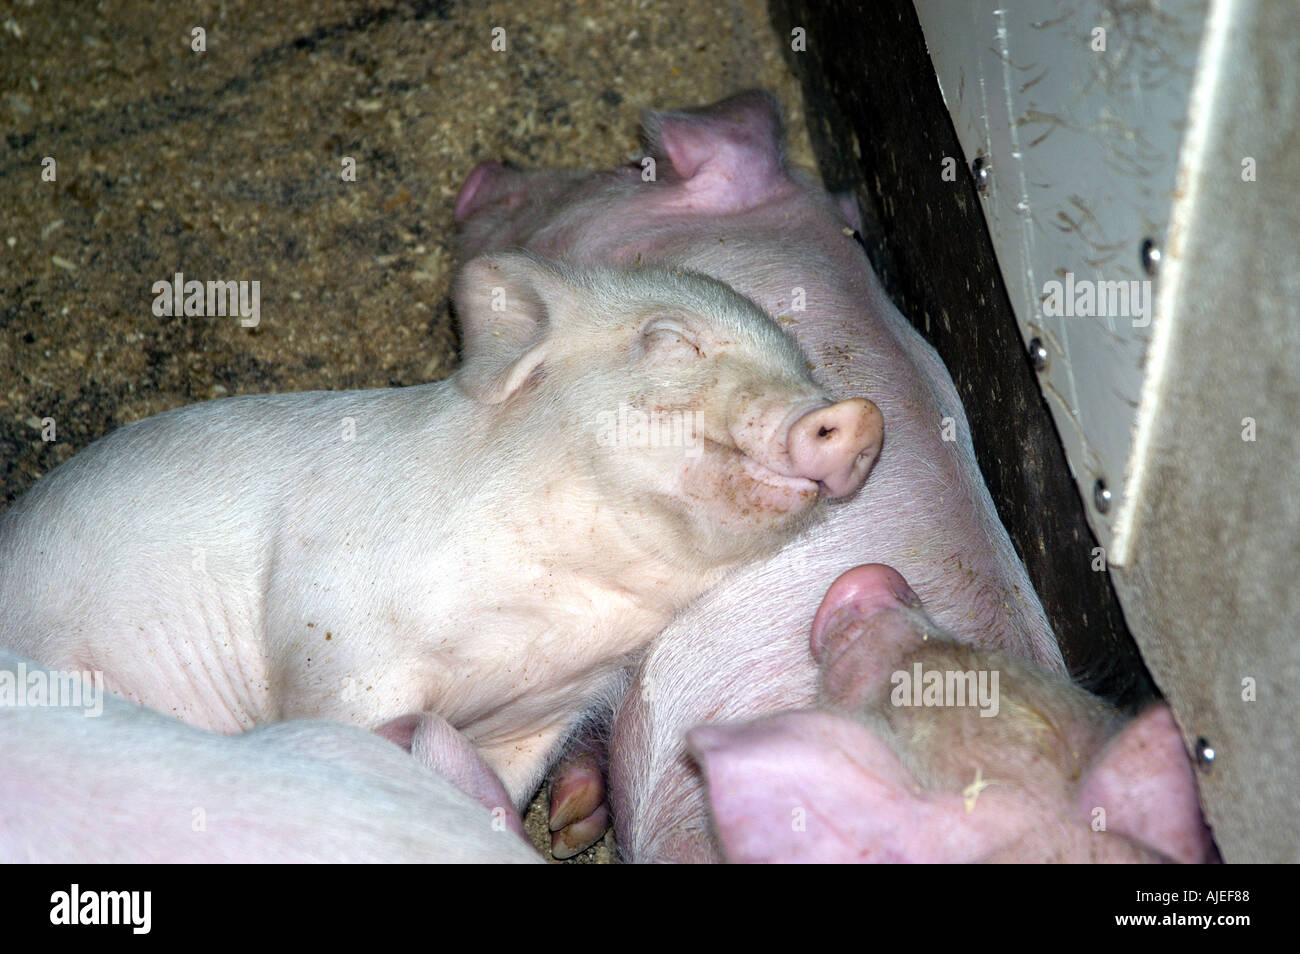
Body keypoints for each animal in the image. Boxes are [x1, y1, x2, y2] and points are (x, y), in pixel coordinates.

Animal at [0, 250, 883, 810]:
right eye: (668, 340)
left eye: (805, 365)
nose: (858, 414)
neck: (558, 603)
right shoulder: (338, 647)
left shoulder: (539, 715)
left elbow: (500, 781)